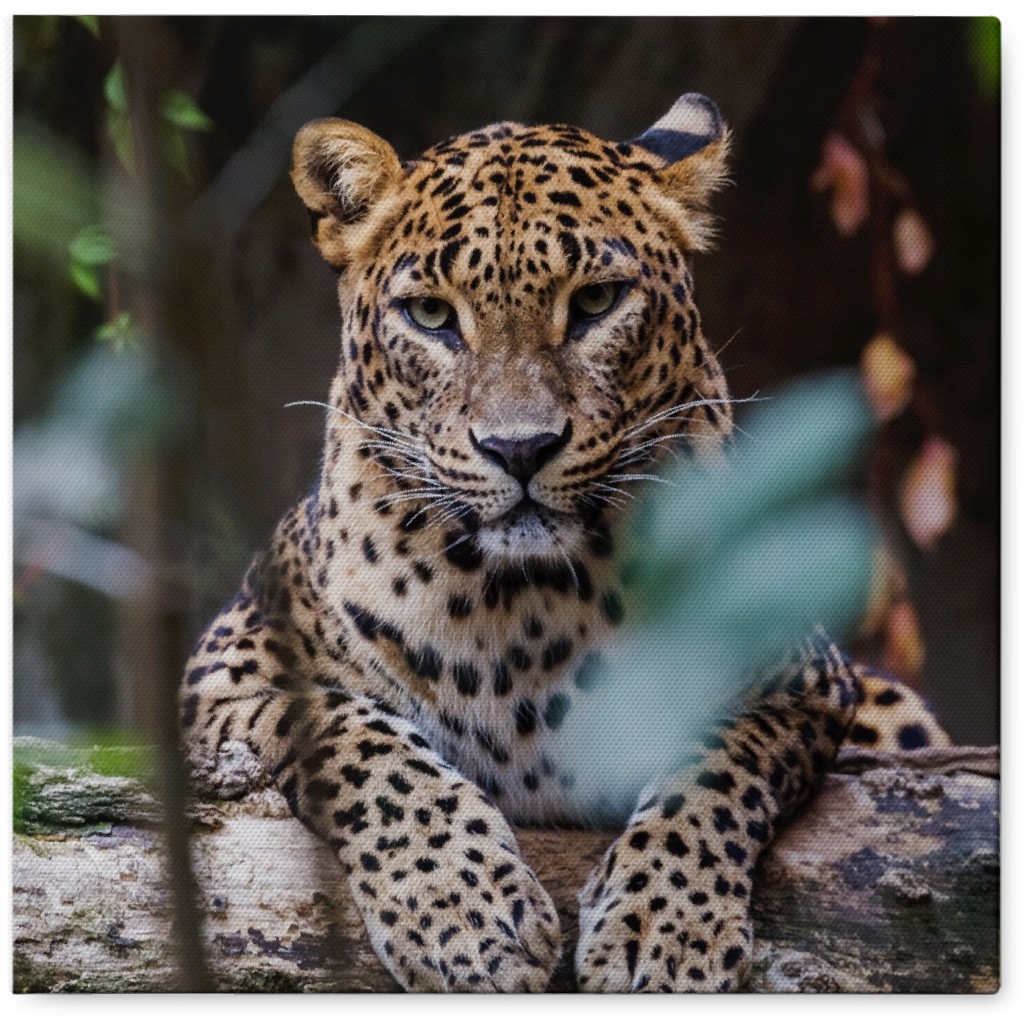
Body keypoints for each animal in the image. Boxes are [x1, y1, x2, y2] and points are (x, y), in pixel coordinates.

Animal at [180, 93, 950, 992]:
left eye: (596, 303)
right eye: (431, 314)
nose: (520, 449)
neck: (525, 601)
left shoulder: (797, 676)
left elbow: (713, 764)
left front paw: (664, 933)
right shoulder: (227, 674)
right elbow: (364, 745)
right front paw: (465, 916)